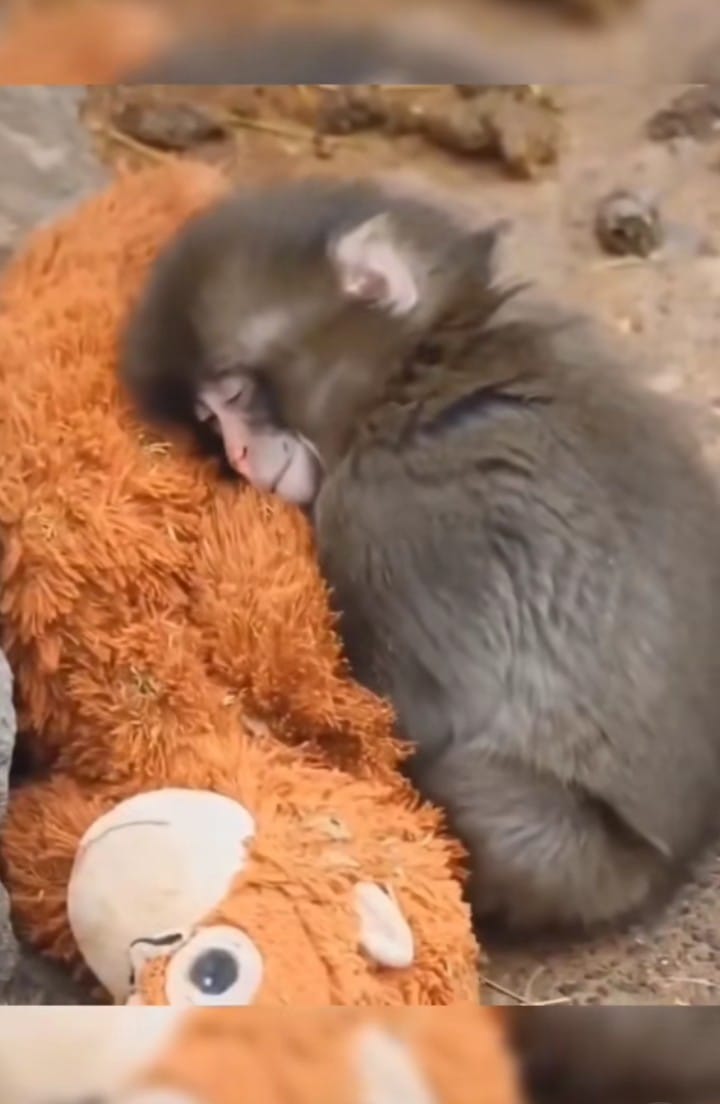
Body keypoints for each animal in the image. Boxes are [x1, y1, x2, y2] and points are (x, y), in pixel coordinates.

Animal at [121, 176, 720, 933]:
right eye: (207, 419)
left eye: (233, 392)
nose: (239, 453)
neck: (412, 375)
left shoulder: (380, 514)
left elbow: (407, 715)